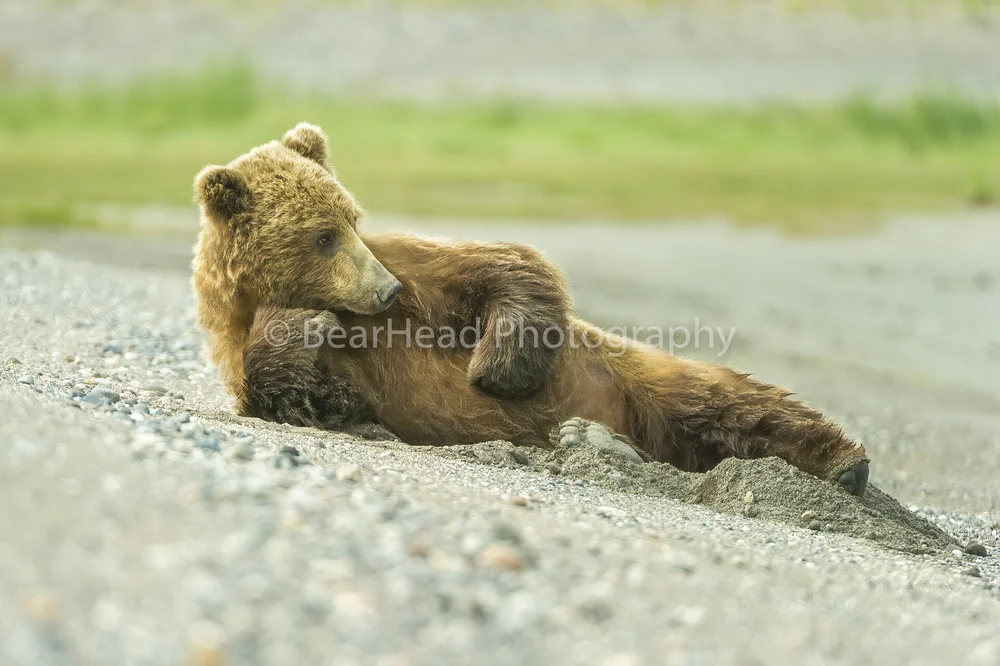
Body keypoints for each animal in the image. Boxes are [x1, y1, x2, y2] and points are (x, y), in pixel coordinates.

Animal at [192, 122, 871, 496]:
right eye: (321, 236)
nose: (383, 291)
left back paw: (842, 464)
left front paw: (494, 370)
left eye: (351, 220)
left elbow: (505, 267)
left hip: (630, 374)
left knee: (716, 397)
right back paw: (598, 443)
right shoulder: (245, 345)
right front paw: (306, 331)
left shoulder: (414, 270)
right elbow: (295, 393)